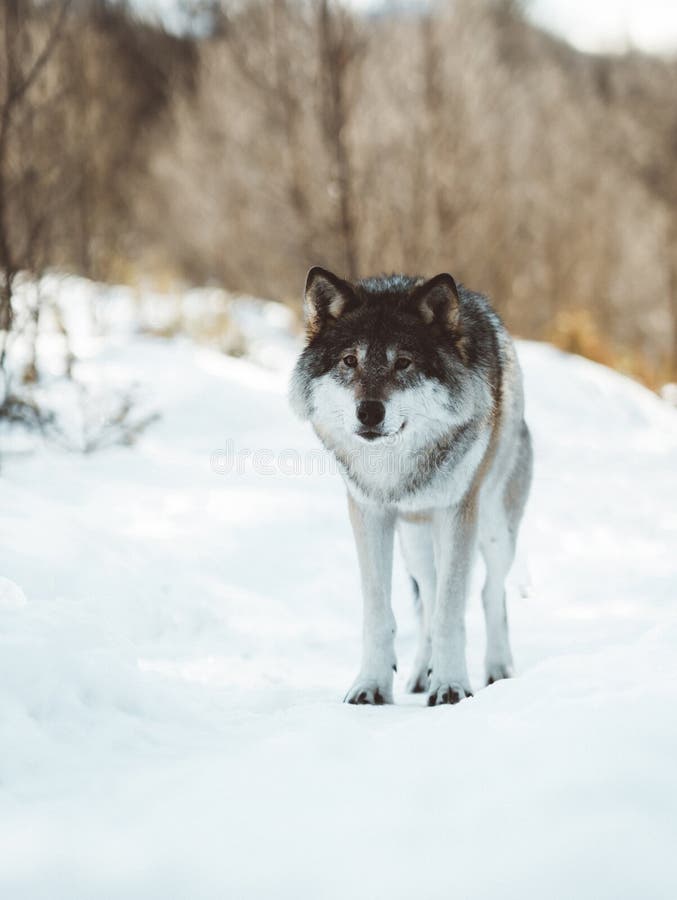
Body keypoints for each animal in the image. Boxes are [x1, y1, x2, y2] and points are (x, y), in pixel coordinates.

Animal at [290, 267, 532, 706]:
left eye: (403, 363)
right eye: (350, 360)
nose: (369, 412)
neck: (394, 469)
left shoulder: (457, 513)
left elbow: (451, 612)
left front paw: (452, 687)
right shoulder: (369, 513)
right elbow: (380, 612)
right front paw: (371, 686)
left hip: (494, 530)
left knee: (490, 594)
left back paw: (497, 669)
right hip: (416, 543)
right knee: (428, 601)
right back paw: (422, 672)